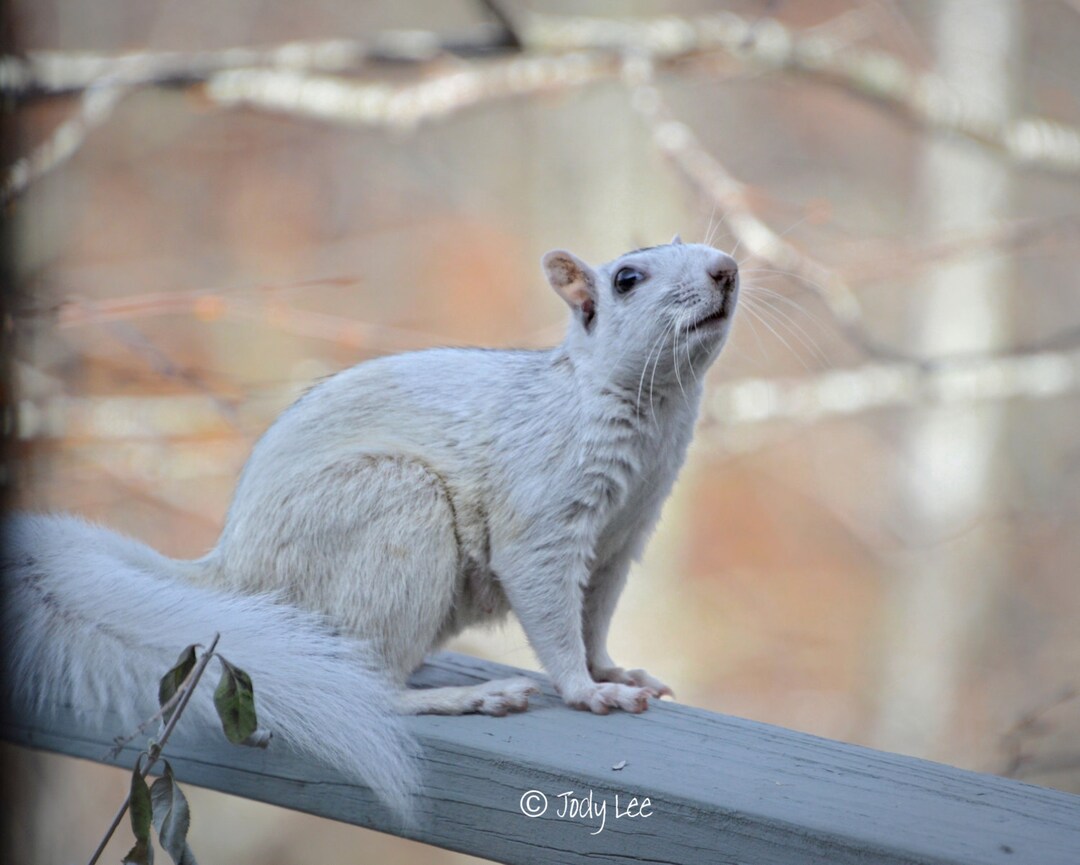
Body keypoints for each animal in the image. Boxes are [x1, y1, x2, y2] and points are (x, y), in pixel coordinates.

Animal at [2, 237, 739, 817]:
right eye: (627, 278)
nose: (727, 268)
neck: (650, 411)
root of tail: (235, 572)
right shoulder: (542, 511)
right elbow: (552, 614)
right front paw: (588, 690)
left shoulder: (623, 537)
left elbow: (595, 618)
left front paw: (615, 668)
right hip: (395, 509)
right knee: (377, 687)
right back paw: (469, 696)